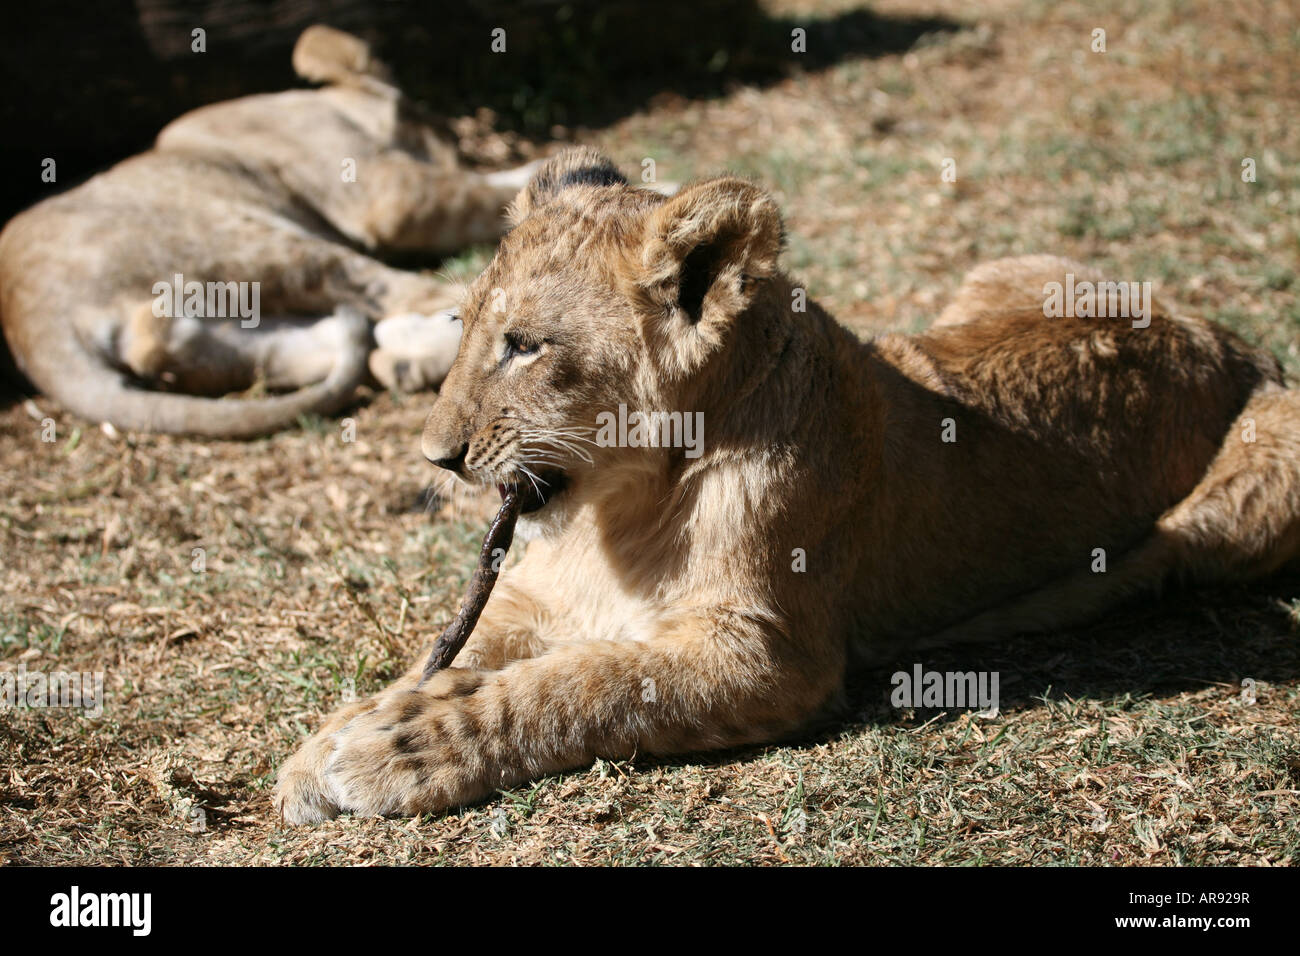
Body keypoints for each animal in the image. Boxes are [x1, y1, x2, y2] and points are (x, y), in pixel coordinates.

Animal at [0, 25, 540, 438]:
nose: (455, 140)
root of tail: (30, 319)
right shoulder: (390, 195)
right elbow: (484, 191)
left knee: (172, 341)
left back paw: (388, 351)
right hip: (252, 238)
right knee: (437, 297)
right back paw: (411, 349)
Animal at [275, 147, 1300, 824]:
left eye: (525, 345)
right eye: (465, 326)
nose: (436, 458)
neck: (622, 509)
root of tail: (1217, 332)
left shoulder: (770, 652)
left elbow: (584, 682)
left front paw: (400, 746)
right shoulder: (531, 594)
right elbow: (449, 653)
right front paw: (328, 741)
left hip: (1255, 485)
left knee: (1165, 554)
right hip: (1002, 274)